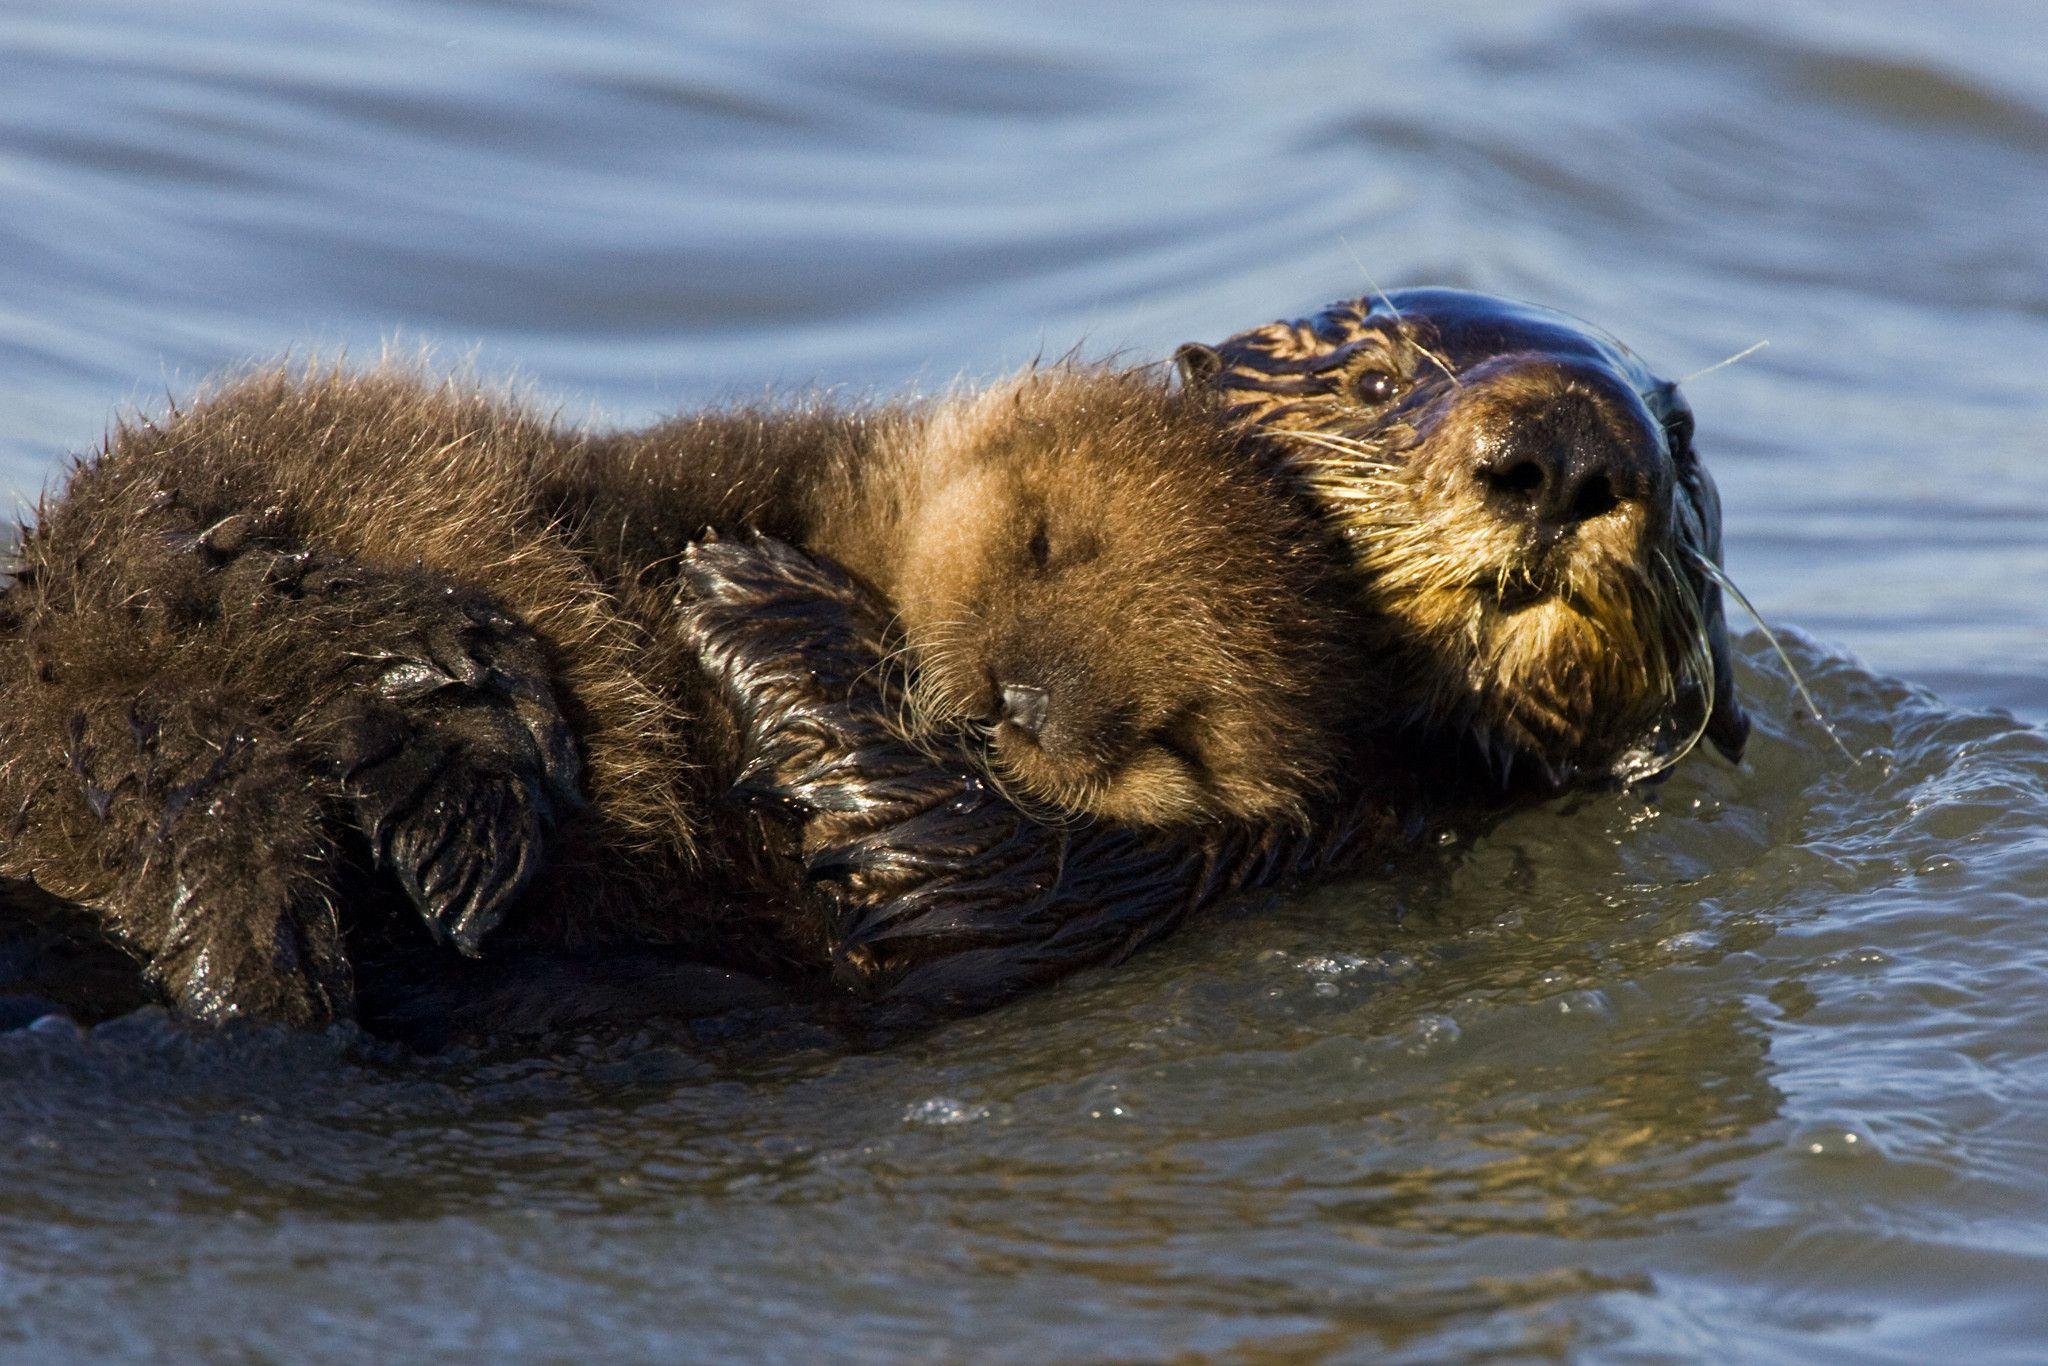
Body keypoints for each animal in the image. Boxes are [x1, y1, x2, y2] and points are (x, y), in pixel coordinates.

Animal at [0, 362, 1360, 1028]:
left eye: (1173, 740)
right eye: (1046, 543)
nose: (1019, 703)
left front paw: (755, 604)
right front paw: (735, 580)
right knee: (172, 554)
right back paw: (445, 713)